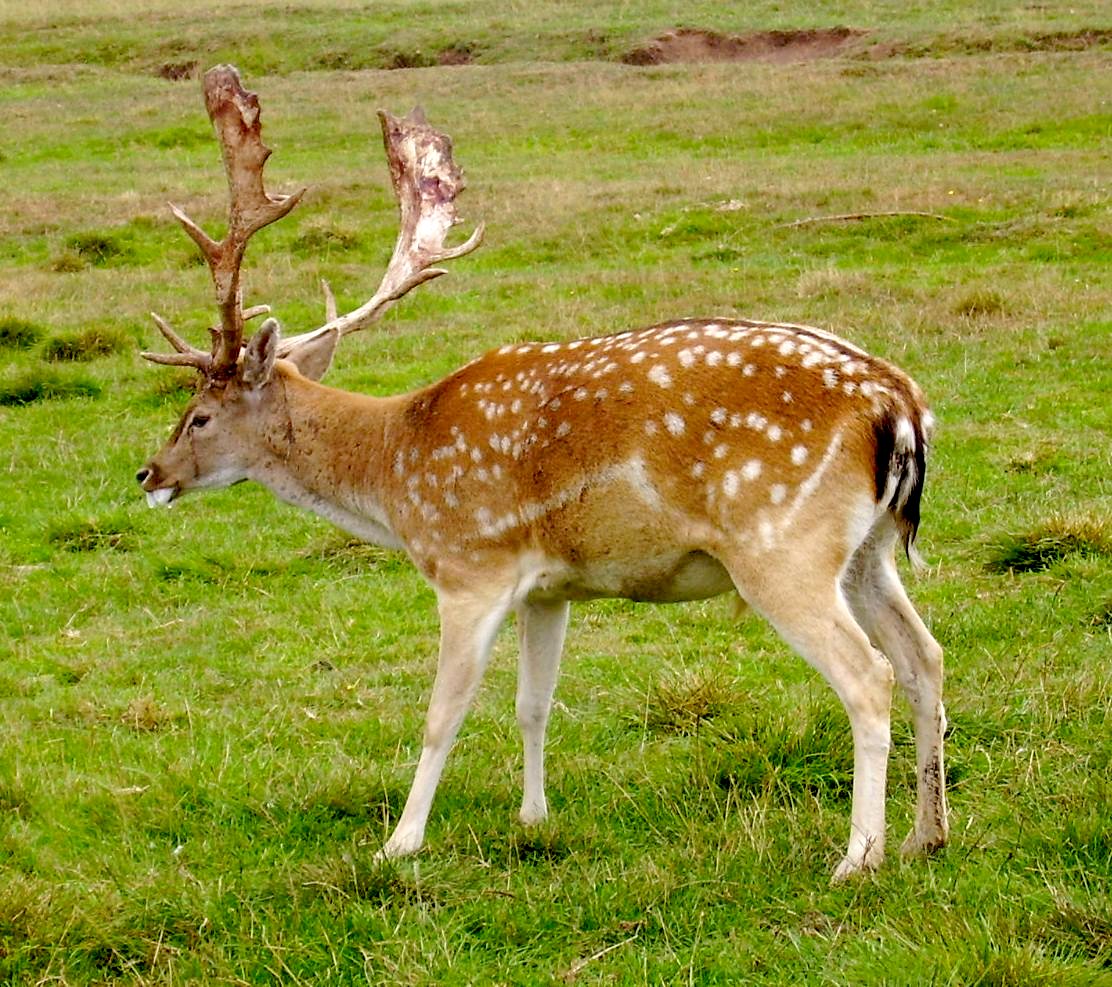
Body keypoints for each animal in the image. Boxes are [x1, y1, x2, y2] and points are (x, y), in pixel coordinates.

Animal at [136, 65, 949, 881]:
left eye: (198, 414)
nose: (149, 472)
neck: (398, 474)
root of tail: (900, 405)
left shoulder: (470, 566)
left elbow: (443, 711)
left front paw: (400, 841)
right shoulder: (549, 587)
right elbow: (534, 703)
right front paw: (533, 817)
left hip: (782, 544)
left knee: (869, 675)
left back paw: (859, 857)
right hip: (868, 550)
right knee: (924, 657)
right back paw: (926, 836)